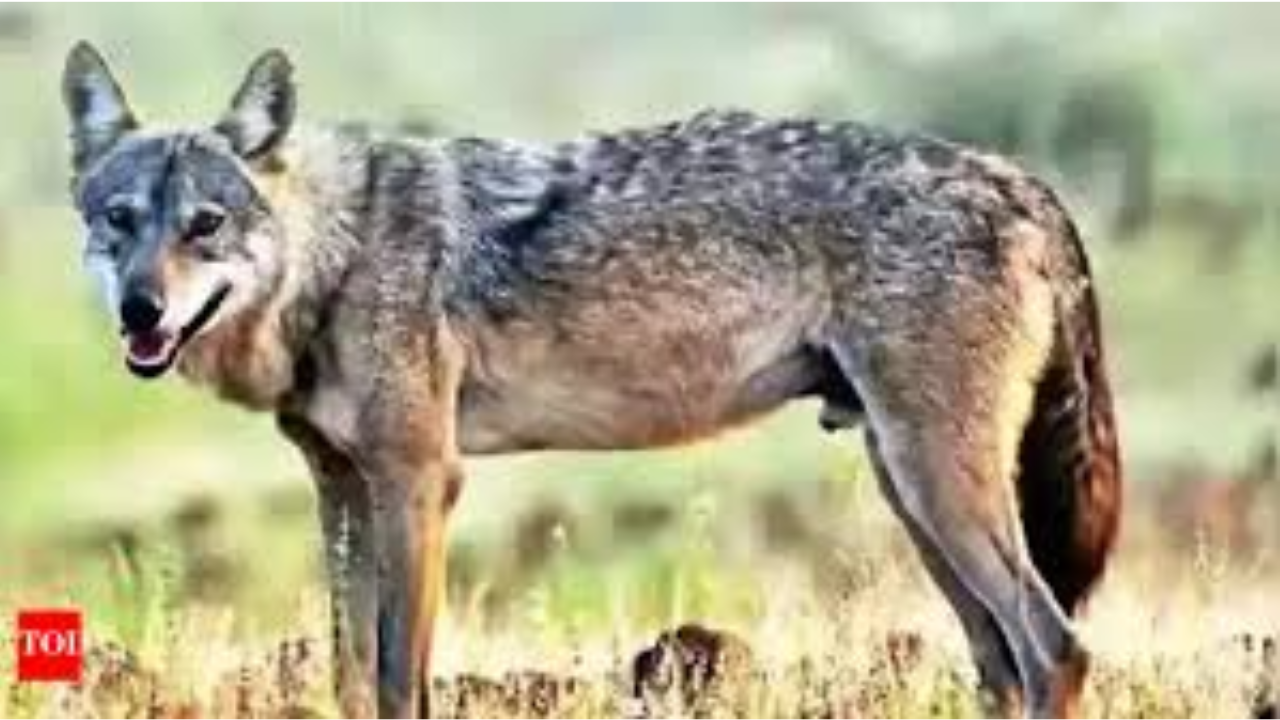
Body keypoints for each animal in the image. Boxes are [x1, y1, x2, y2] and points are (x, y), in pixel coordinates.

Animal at [61, 42, 1121, 718]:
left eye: (205, 225)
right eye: (120, 222)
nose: (140, 314)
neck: (341, 253)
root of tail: (1019, 178)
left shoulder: (420, 482)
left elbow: (402, 678)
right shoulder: (343, 491)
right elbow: (349, 675)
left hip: (938, 485)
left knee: (1054, 646)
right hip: (913, 491)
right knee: (1001, 663)